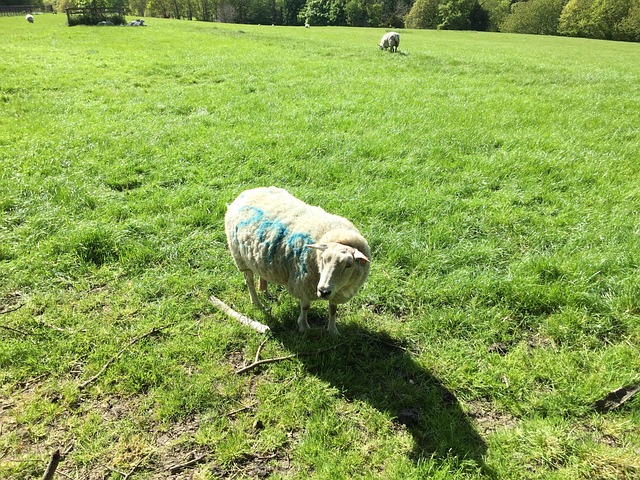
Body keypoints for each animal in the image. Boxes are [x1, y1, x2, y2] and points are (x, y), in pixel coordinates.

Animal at [225, 187, 371, 335]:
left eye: (349, 265)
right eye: (322, 259)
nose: (323, 291)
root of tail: (247, 192)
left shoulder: (336, 291)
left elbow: (333, 310)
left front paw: (333, 331)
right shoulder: (303, 284)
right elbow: (305, 306)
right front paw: (304, 326)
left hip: (258, 257)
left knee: (261, 273)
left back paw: (265, 292)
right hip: (241, 259)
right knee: (249, 281)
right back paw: (257, 303)